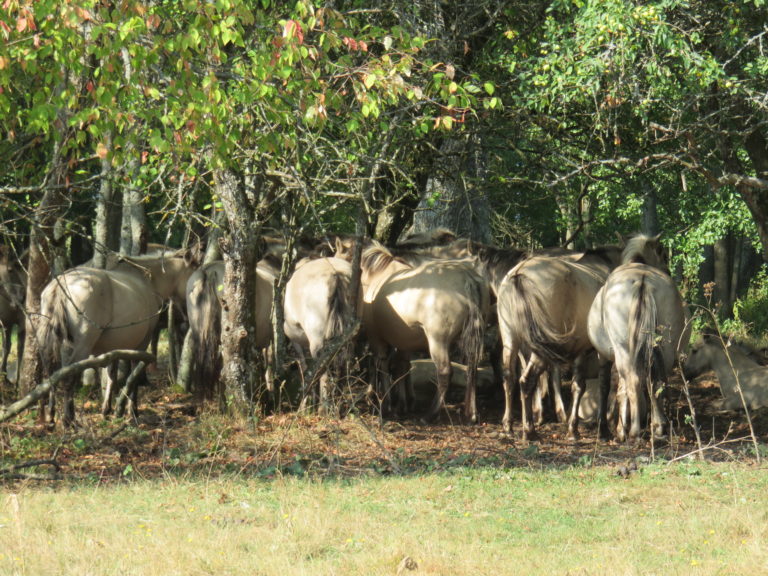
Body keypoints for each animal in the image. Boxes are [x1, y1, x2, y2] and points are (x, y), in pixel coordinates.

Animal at [36, 249, 199, 426]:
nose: (187, 317)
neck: (148, 281)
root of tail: (60, 285)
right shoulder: (141, 344)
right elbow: (133, 376)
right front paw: (131, 411)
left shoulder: (112, 349)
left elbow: (111, 376)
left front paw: (107, 410)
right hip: (81, 346)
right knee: (68, 376)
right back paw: (68, 419)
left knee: (52, 374)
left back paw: (51, 417)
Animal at [283, 256, 356, 414]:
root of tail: (335, 274)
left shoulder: (297, 343)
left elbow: (305, 369)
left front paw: (306, 404)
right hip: (349, 335)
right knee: (343, 365)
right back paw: (338, 403)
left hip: (317, 339)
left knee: (322, 369)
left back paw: (323, 408)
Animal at [336, 238, 490, 423]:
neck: (378, 276)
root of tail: (466, 278)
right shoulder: (403, 340)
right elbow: (402, 367)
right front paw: (403, 404)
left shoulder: (376, 337)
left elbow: (381, 365)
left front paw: (385, 403)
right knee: (472, 369)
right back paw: (471, 413)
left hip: (438, 341)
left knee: (445, 372)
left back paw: (431, 413)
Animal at [587, 235, 687, 442]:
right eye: (663, 255)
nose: (668, 270)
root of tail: (643, 280)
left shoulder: (605, 356)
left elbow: (609, 387)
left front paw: (616, 429)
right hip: (665, 347)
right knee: (655, 381)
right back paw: (658, 427)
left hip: (623, 348)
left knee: (633, 380)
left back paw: (634, 431)